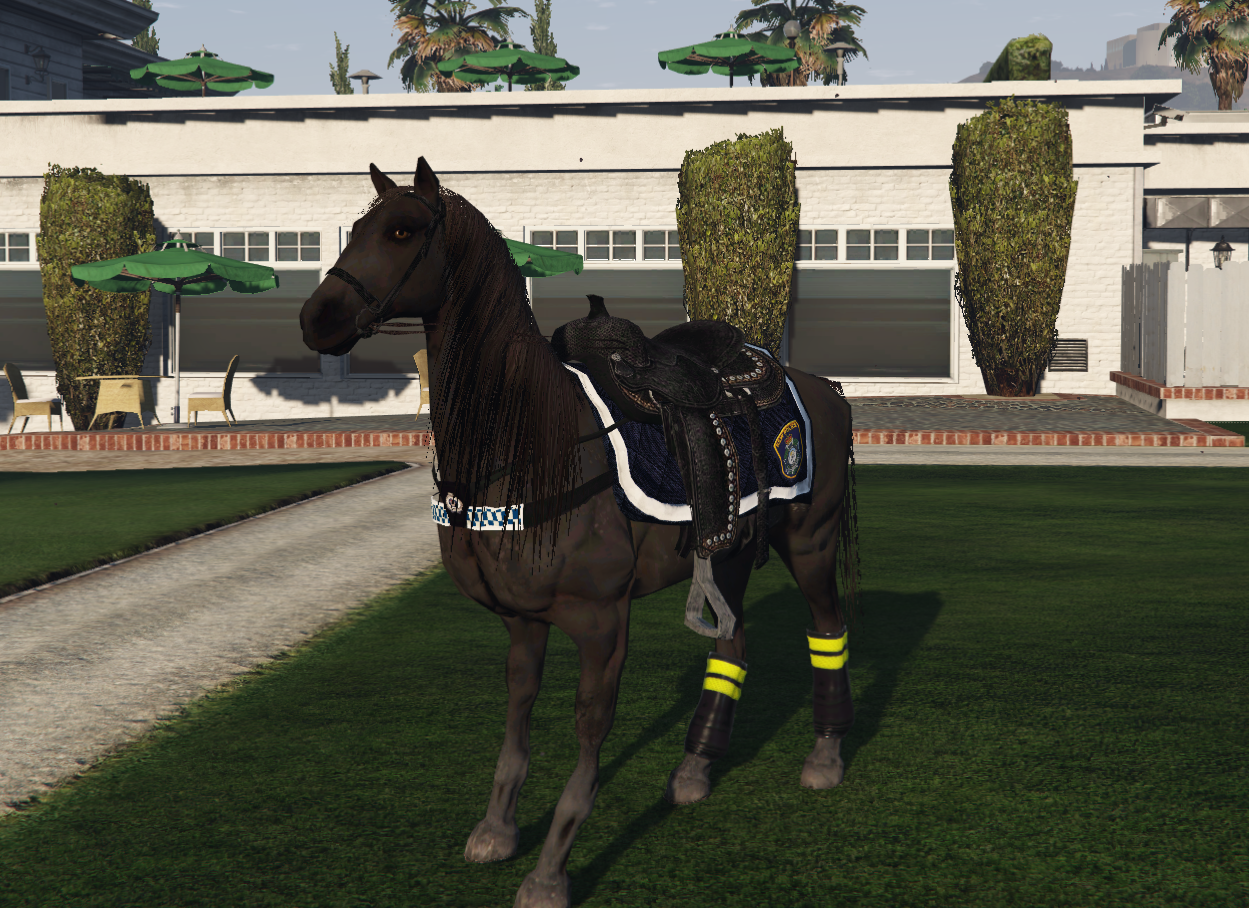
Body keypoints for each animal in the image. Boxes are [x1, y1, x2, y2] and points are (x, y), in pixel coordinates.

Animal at [300, 158, 860, 908]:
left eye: (401, 230)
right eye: (359, 227)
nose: (316, 317)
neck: (536, 441)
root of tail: (820, 385)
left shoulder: (600, 622)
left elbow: (589, 733)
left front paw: (549, 871)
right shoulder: (521, 620)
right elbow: (518, 718)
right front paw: (497, 830)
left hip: (810, 542)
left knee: (826, 629)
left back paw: (824, 757)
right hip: (732, 549)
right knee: (733, 640)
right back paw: (694, 771)